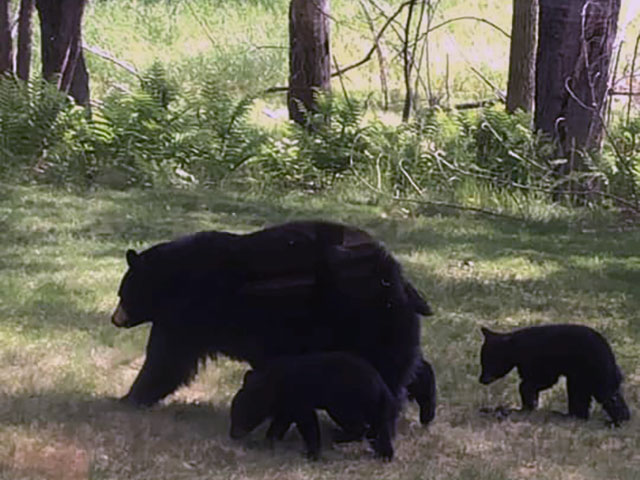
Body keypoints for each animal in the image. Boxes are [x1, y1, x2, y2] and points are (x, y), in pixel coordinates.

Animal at [111, 220, 430, 408]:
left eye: (122, 293)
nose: (115, 319)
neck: (173, 278)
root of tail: (399, 275)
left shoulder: (191, 310)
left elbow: (168, 358)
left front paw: (129, 397)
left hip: (365, 313)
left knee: (387, 363)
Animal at [229, 352, 398, 460]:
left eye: (242, 413)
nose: (233, 434)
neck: (273, 385)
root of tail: (380, 385)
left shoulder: (298, 399)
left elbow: (307, 423)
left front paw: (311, 453)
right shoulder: (285, 406)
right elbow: (279, 423)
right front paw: (269, 441)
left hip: (343, 400)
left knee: (359, 425)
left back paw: (336, 435)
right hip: (373, 406)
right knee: (379, 428)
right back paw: (383, 455)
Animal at [479, 324, 631, 424]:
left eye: (488, 362)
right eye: (482, 362)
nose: (481, 379)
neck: (516, 347)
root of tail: (609, 353)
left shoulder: (537, 360)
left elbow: (541, 380)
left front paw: (526, 405)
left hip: (593, 371)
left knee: (606, 395)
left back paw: (617, 421)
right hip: (582, 376)